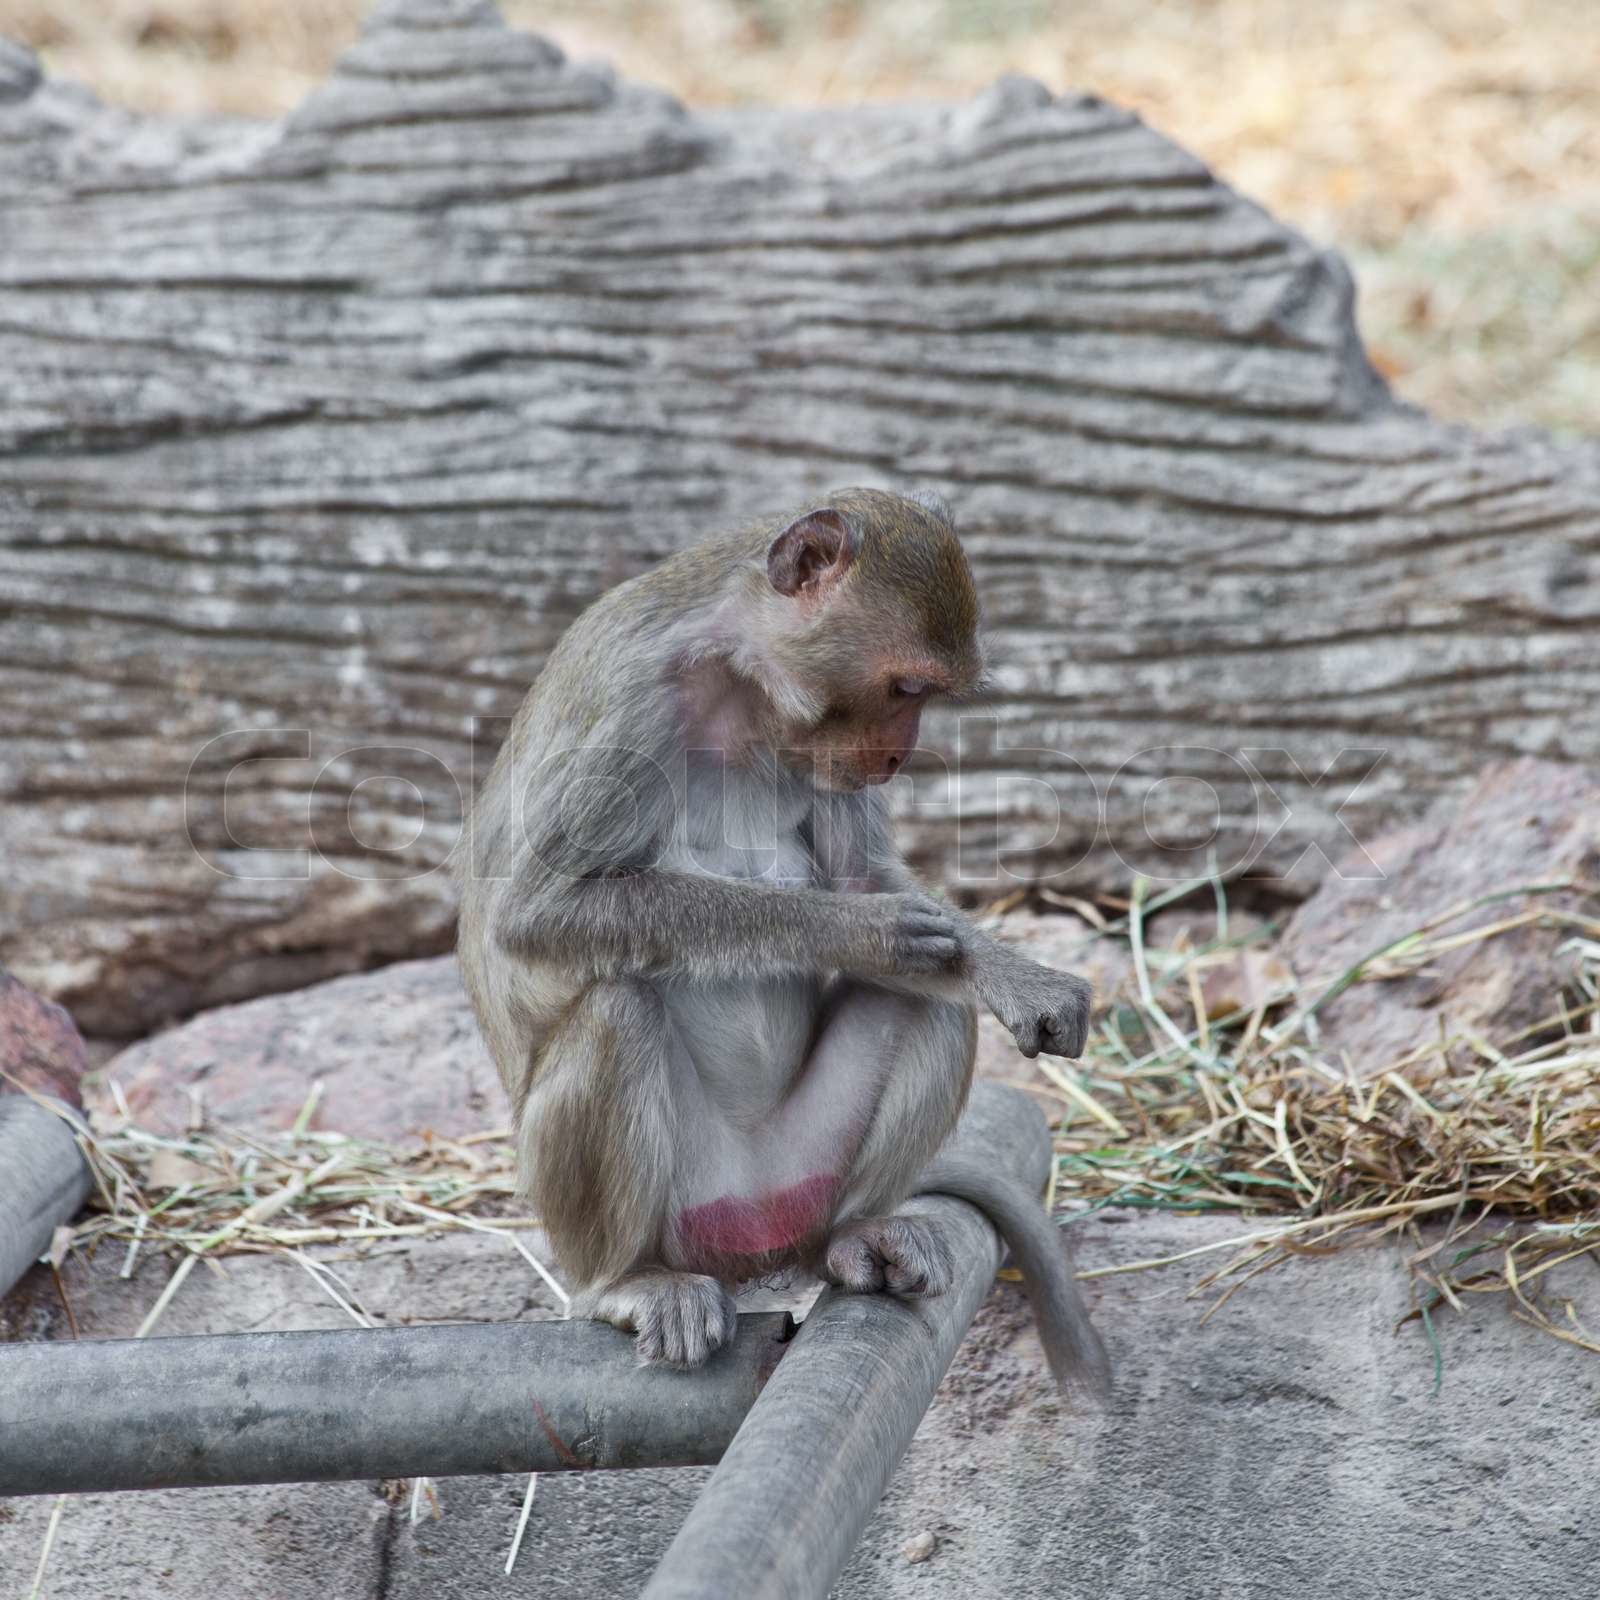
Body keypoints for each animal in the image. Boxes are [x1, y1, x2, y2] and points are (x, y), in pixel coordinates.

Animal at [456, 487, 1109, 1401]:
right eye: (906, 685)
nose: (899, 756)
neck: (742, 683)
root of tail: (755, 1236)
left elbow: (874, 884)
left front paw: (1009, 972)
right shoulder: (633, 699)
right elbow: (539, 911)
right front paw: (860, 933)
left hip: (801, 1173)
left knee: (925, 1007)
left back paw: (853, 1235)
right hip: (682, 1208)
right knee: (616, 1008)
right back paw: (628, 1281)